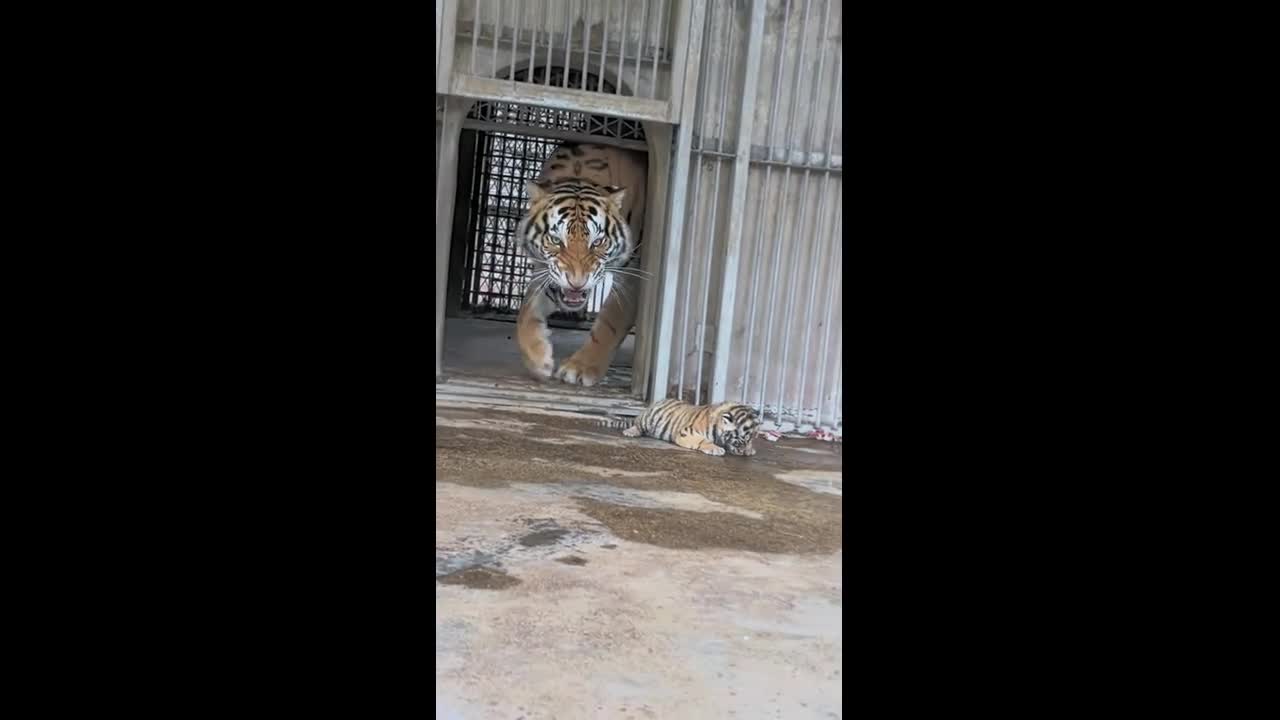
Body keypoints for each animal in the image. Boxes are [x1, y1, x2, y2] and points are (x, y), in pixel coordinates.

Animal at [515, 142, 647, 386]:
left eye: (598, 242)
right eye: (556, 240)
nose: (577, 283)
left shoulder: (634, 275)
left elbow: (610, 322)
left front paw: (580, 368)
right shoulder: (548, 272)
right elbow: (525, 313)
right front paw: (538, 359)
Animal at [600, 399, 763, 457]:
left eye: (751, 439)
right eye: (743, 439)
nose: (745, 452)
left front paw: (751, 450)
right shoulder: (687, 432)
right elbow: (703, 441)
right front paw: (715, 449)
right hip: (647, 419)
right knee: (637, 424)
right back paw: (631, 431)